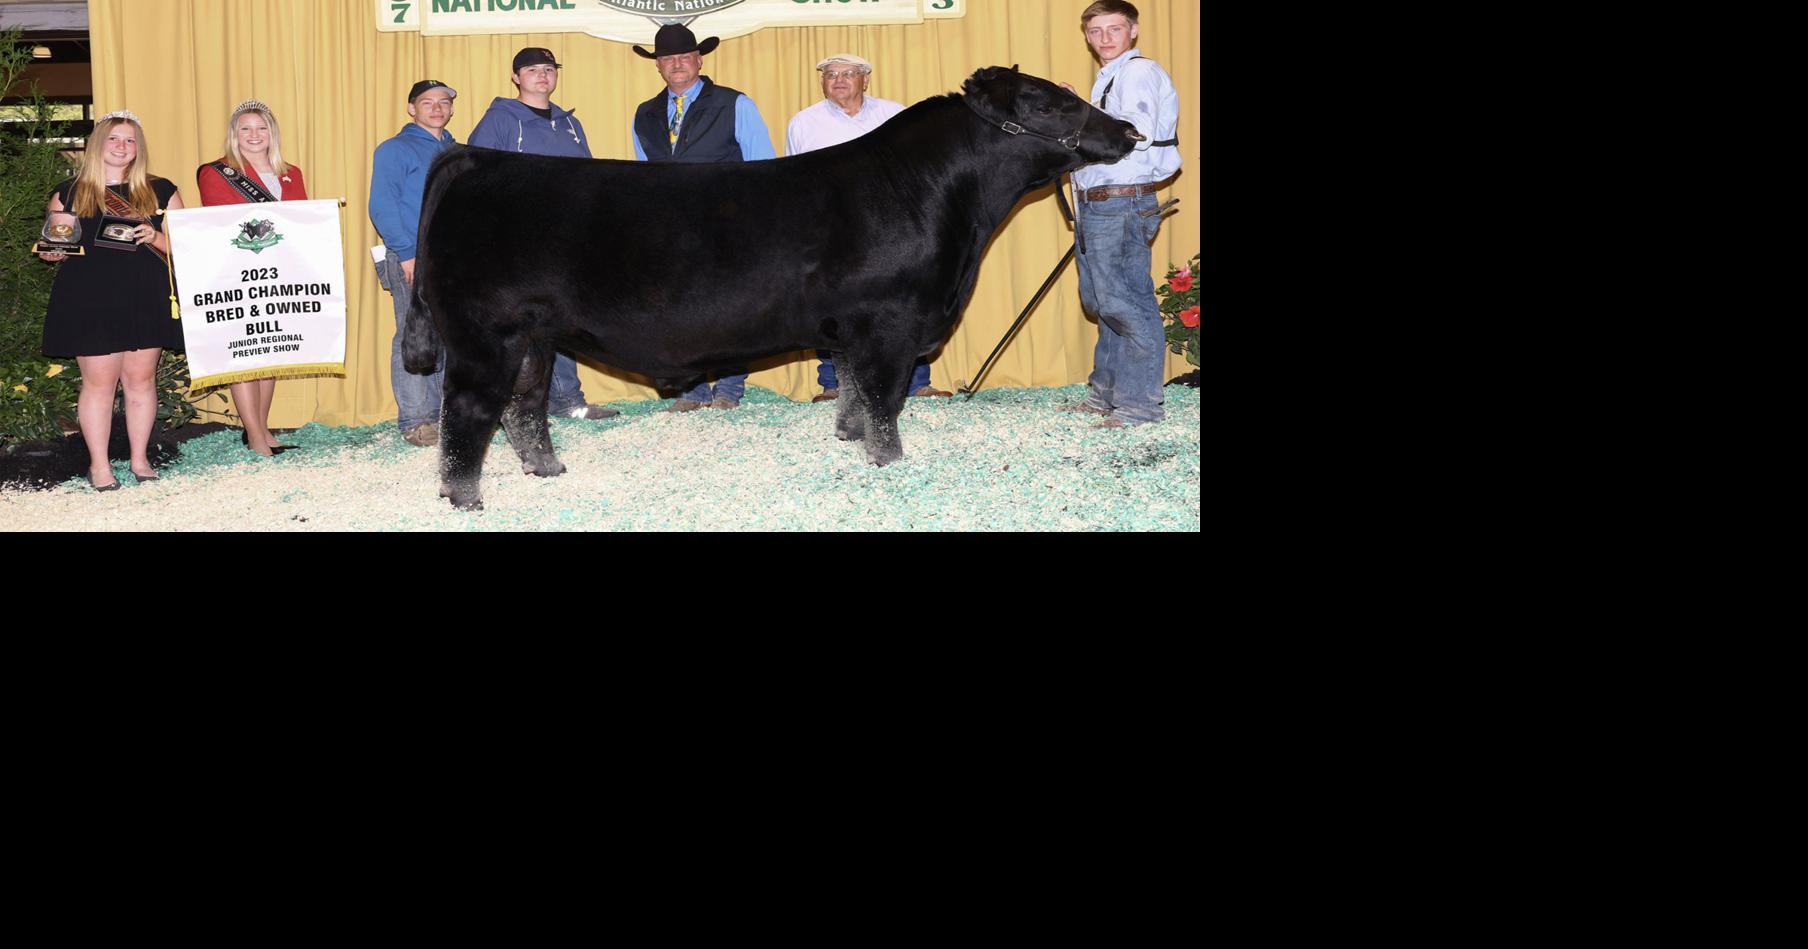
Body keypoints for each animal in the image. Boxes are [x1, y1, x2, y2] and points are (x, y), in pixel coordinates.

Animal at [404, 66, 1141, 509]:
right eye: (1050, 102)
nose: (1130, 131)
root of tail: (477, 157)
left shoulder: (850, 328)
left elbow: (853, 391)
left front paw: (848, 439)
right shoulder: (890, 321)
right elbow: (886, 397)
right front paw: (888, 461)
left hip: (533, 336)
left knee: (524, 407)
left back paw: (545, 471)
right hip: (483, 335)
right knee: (467, 412)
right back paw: (465, 497)